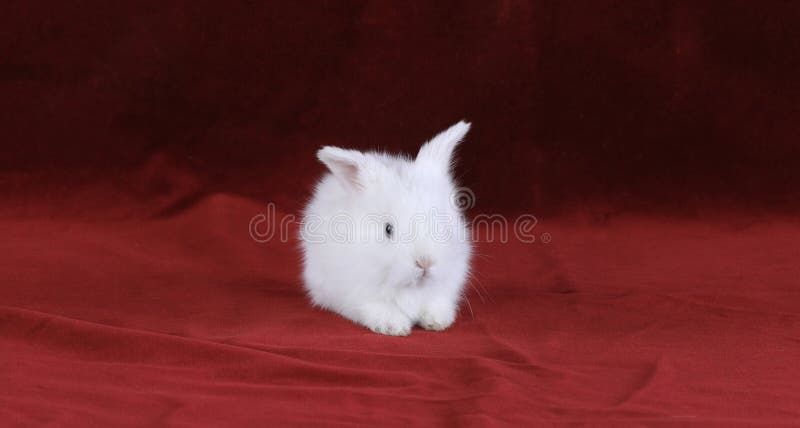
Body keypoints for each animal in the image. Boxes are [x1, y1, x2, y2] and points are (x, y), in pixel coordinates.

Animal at [299, 121, 473, 336]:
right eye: (388, 229)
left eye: (439, 222)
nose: (425, 262)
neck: (411, 287)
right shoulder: (360, 296)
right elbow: (377, 308)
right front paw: (395, 326)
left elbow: (436, 303)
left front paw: (436, 322)